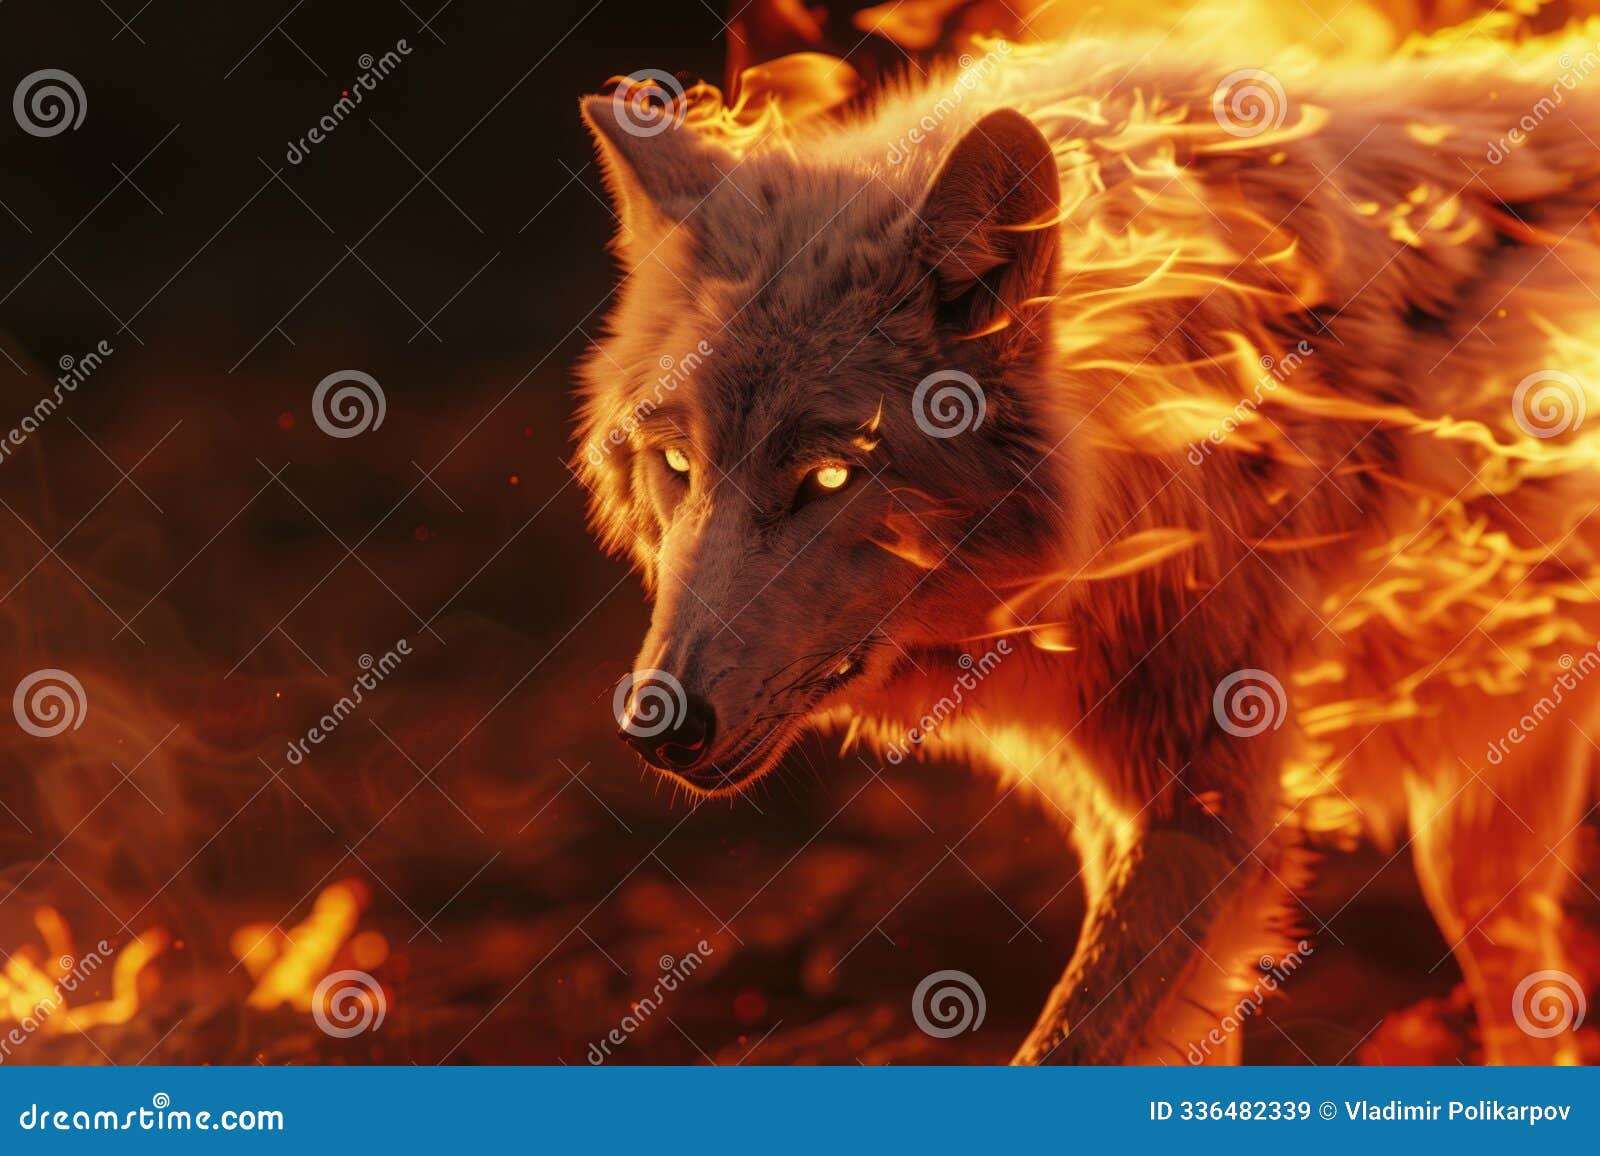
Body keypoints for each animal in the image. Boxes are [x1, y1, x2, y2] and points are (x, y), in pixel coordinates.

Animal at [574, 25, 1600, 1064]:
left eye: (826, 478)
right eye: (677, 463)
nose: (658, 725)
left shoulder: (1211, 813)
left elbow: (1070, 1041)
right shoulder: (1122, 811)